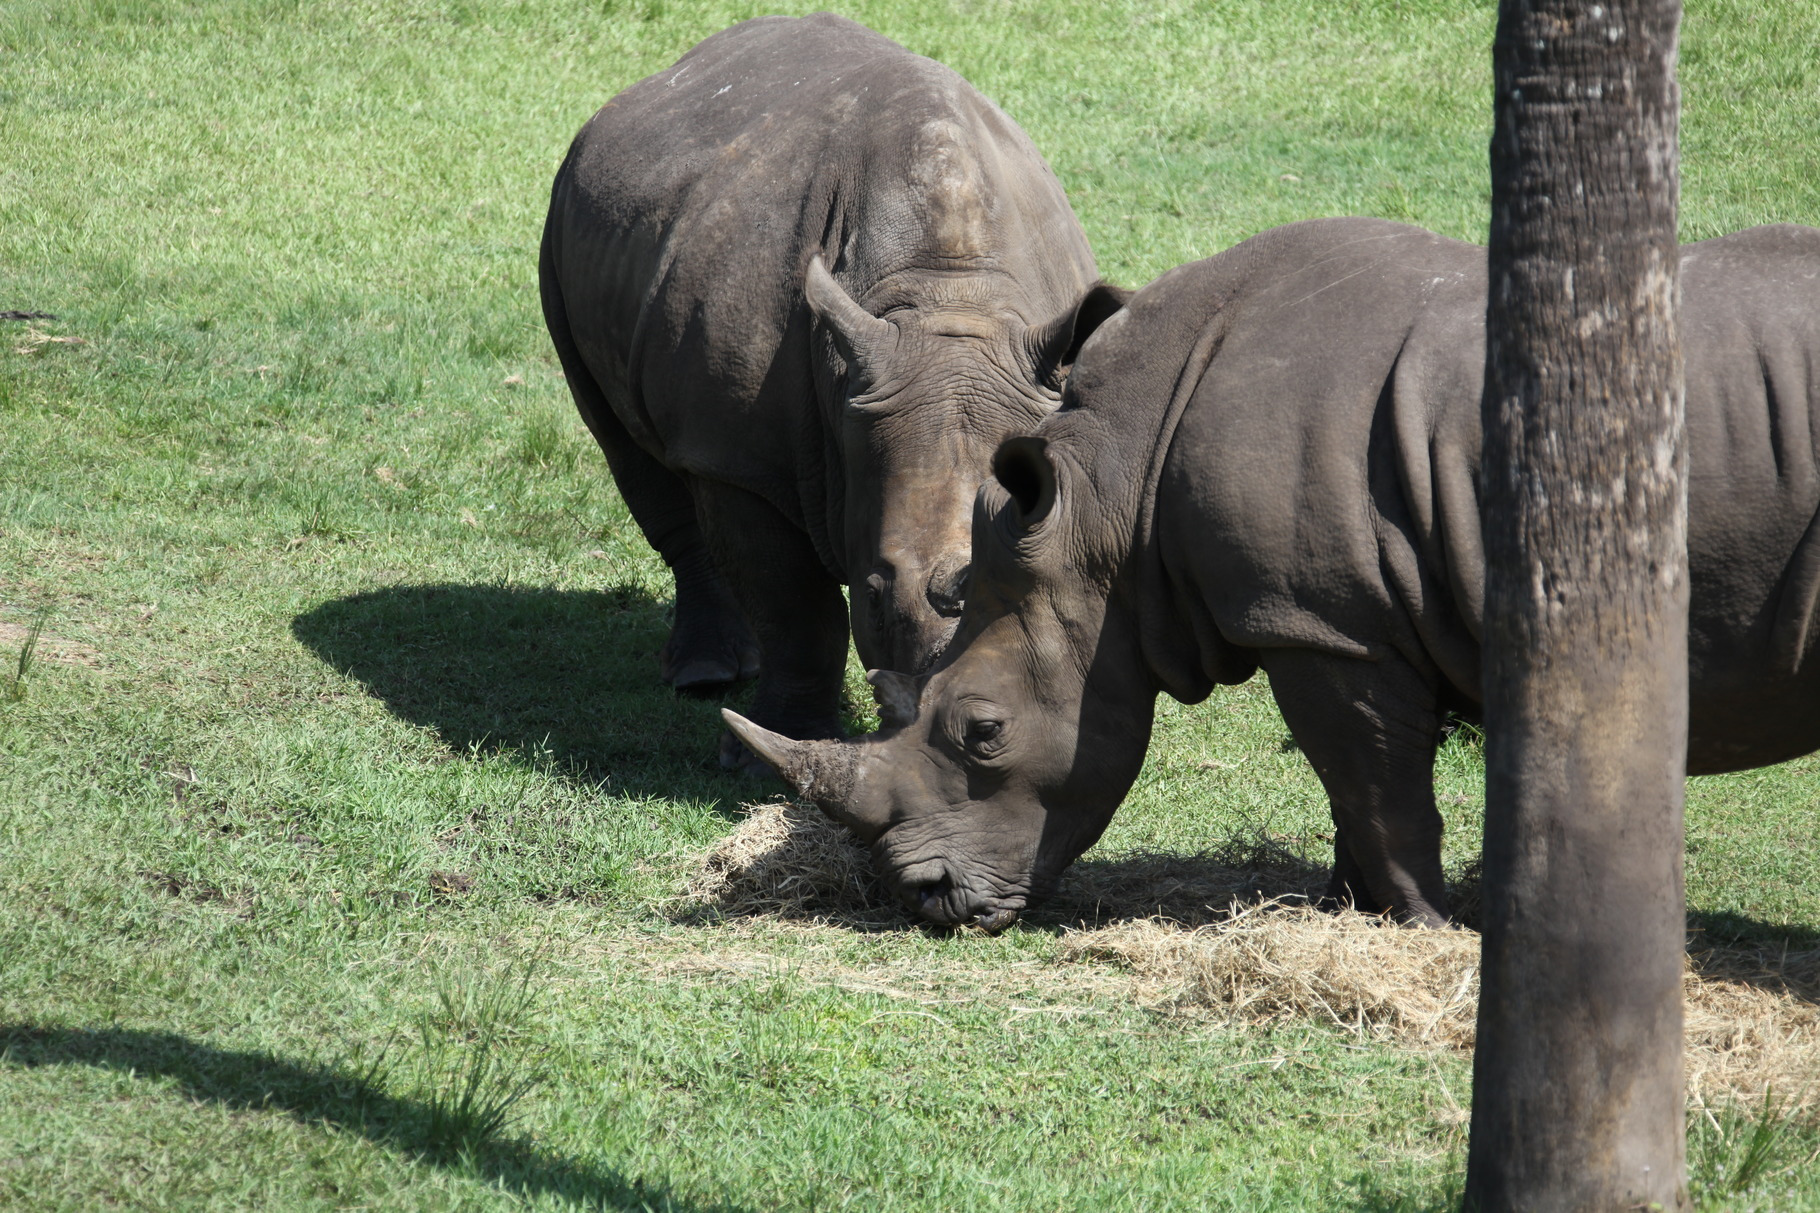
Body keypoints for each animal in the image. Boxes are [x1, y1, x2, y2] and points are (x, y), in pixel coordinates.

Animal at [540, 14, 1121, 771]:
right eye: (874, 595)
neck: (948, 301)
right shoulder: (737, 456)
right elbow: (795, 605)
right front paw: (765, 757)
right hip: (564, 218)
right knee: (625, 445)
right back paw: (707, 676)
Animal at [726, 216, 1820, 928]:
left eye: (982, 732)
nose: (926, 900)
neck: (1109, 508)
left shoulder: (1318, 622)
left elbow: (1379, 793)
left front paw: (1425, 930)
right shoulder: (1350, 619)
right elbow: (1358, 788)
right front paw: (1347, 913)